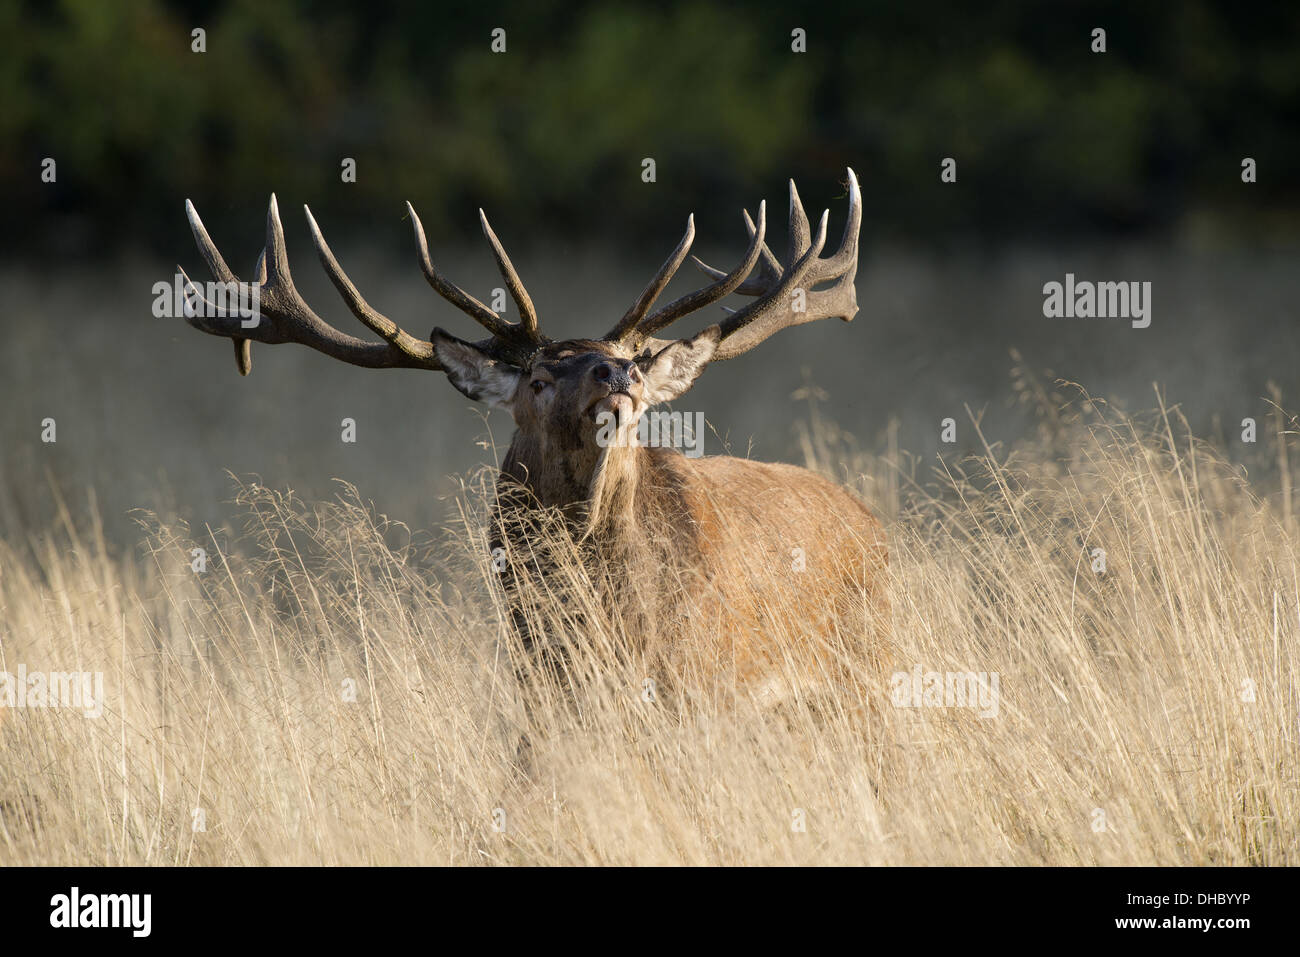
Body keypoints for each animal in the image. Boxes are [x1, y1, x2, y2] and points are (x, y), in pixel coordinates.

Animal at [179, 169, 887, 715]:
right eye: (541, 377)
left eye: (623, 362)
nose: (618, 373)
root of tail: (874, 524)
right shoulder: (538, 681)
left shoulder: (696, 681)